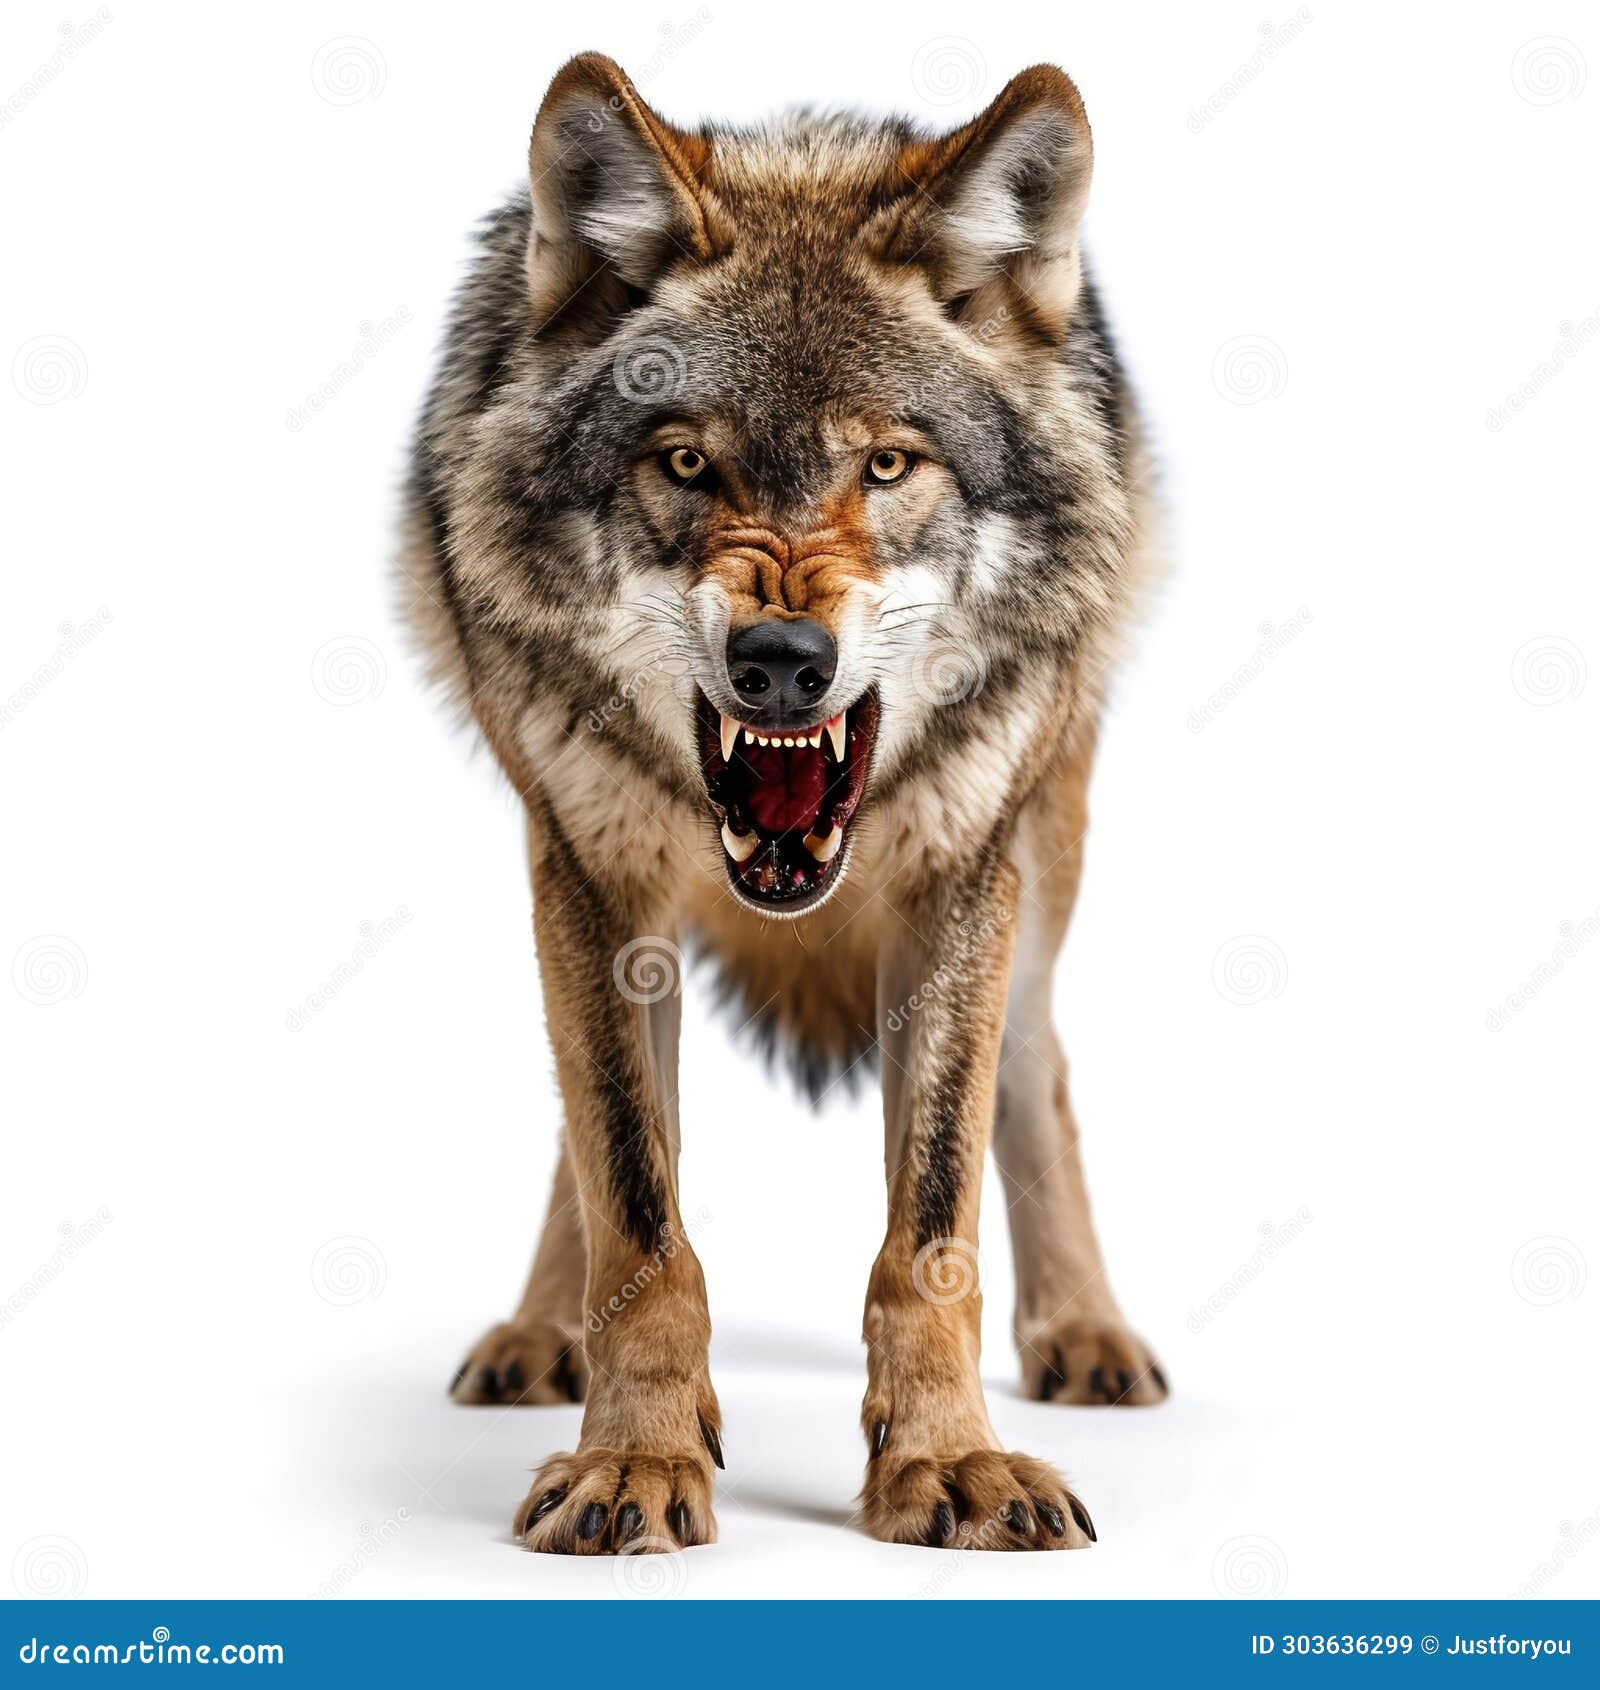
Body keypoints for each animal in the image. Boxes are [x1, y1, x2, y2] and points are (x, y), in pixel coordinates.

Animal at [400, 51, 1163, 1554]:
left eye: (888, 465)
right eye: (688, 463)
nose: (782, 661)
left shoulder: (957, 879)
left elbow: (932, 1227)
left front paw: (949, 1462)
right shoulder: (591, 875)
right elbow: (635, 1204)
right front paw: (632, 1459)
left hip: (1040, 858)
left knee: (1035, 1069)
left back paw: (1086, 1332)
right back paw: (536, 1331)